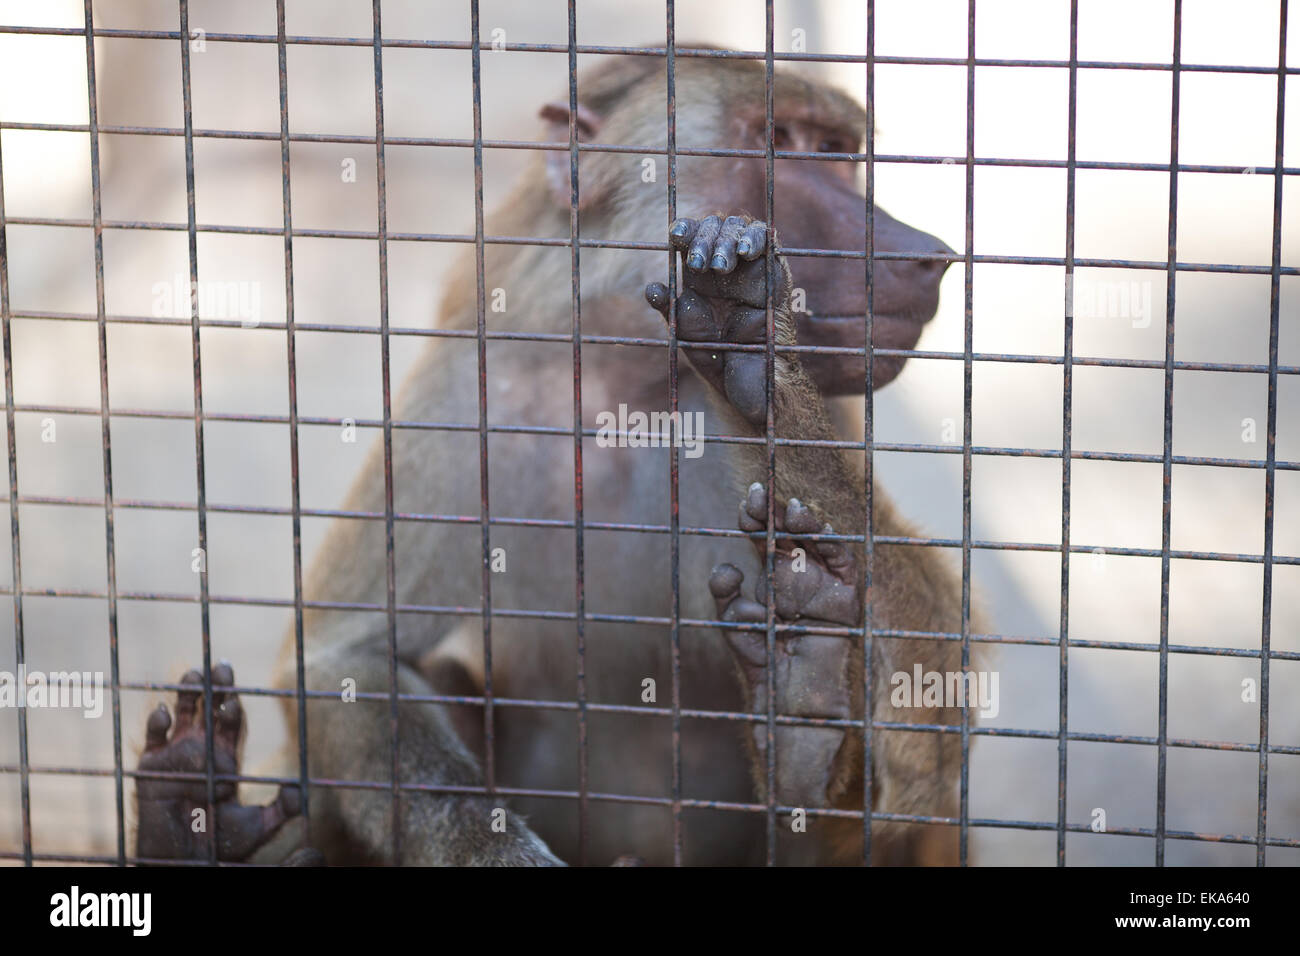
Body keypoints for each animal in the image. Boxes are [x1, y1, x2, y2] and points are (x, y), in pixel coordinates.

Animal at [134, 51, 966, 866]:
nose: (928, 255)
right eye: (782, 140)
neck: (622, 391)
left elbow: (936, 717)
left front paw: (758, 364)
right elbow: (344, 660)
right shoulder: (463, 398)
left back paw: (802, 723)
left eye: (837, 149)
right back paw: (183, 826)